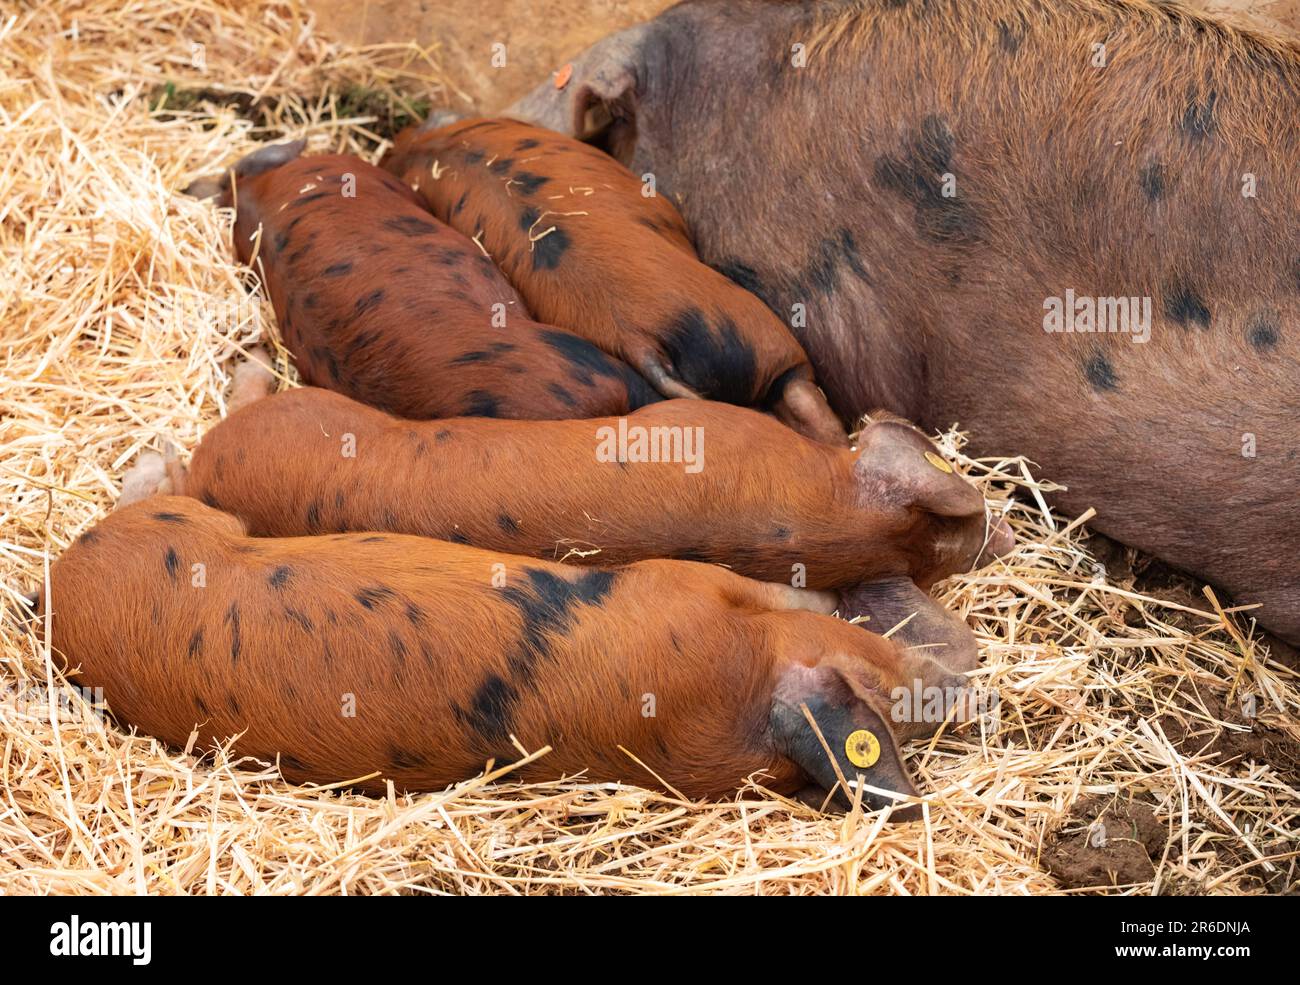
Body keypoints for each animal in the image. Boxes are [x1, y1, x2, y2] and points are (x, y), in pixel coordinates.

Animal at [35, 493, 970, 814]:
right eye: (870, 686)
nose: (960, 689)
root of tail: (64, 574)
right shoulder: (678, 588)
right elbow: (780, 594)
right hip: (182, 519)